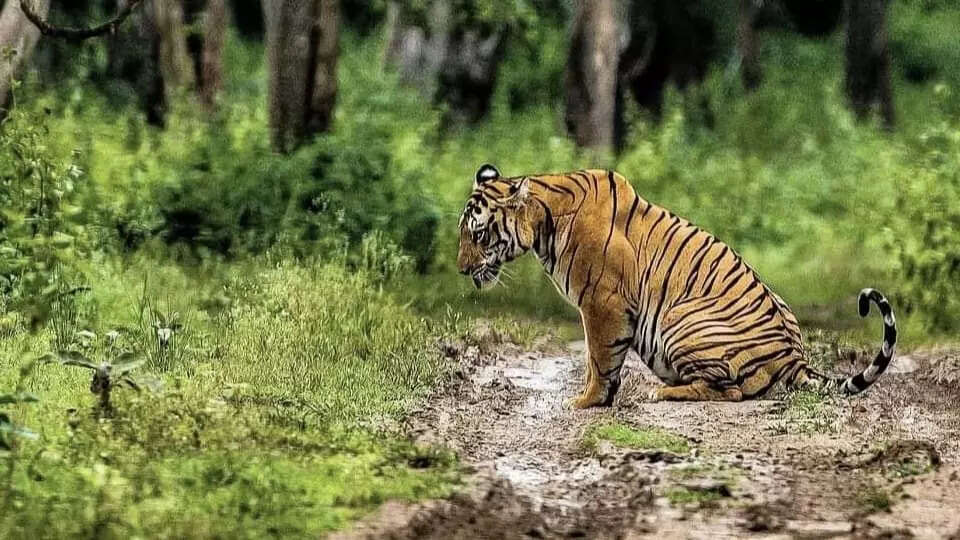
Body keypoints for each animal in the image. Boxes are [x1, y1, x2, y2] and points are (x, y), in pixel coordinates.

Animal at [457, 164, 897, 408]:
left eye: (478, 234)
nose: (462, 270)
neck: (544, 222)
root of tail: (795, 359)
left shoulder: (602, 304)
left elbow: (598, 359)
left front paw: (587, 402)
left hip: (678, 318)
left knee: (730, 391)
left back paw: (663, 393)